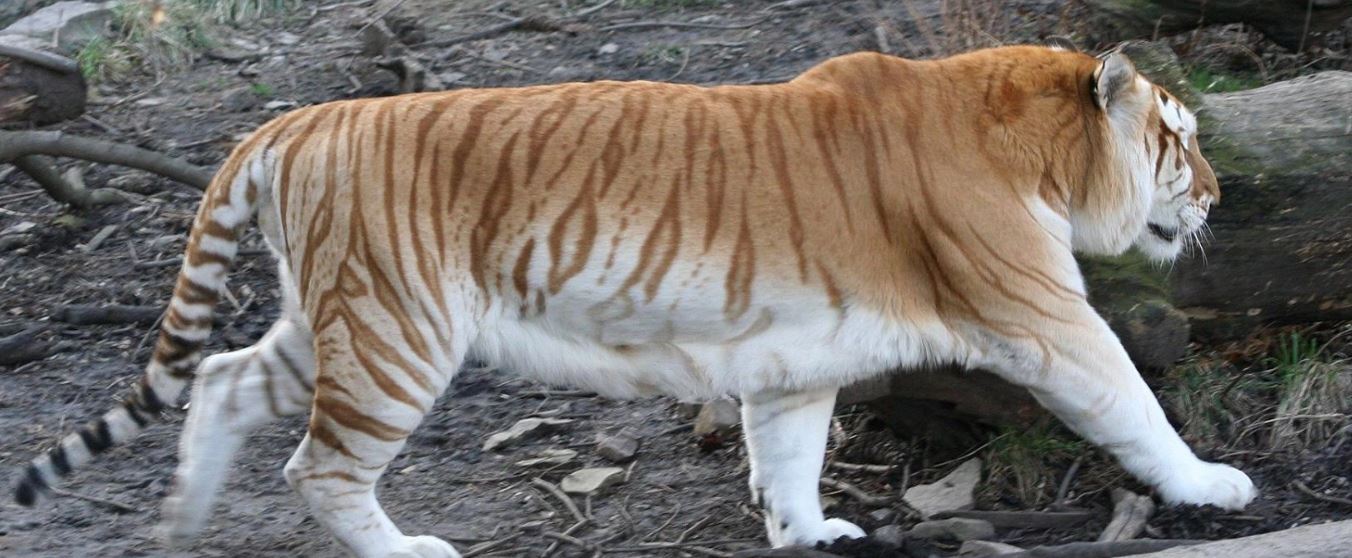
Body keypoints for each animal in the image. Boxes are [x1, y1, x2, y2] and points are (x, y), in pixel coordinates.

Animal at [14, 44, 1254, 556]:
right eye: (1177, 139)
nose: (1217, 192)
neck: (1039, 155)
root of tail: (294, 119)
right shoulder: (1044, 317)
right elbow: (1131, 401)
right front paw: (1208, 485)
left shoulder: (796, 355)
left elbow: (789, 450)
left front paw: (807, 533)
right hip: (394, 334)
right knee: (317, 470)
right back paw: (406, 551)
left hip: (333, 326)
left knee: (223, 381)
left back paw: (180, 527)